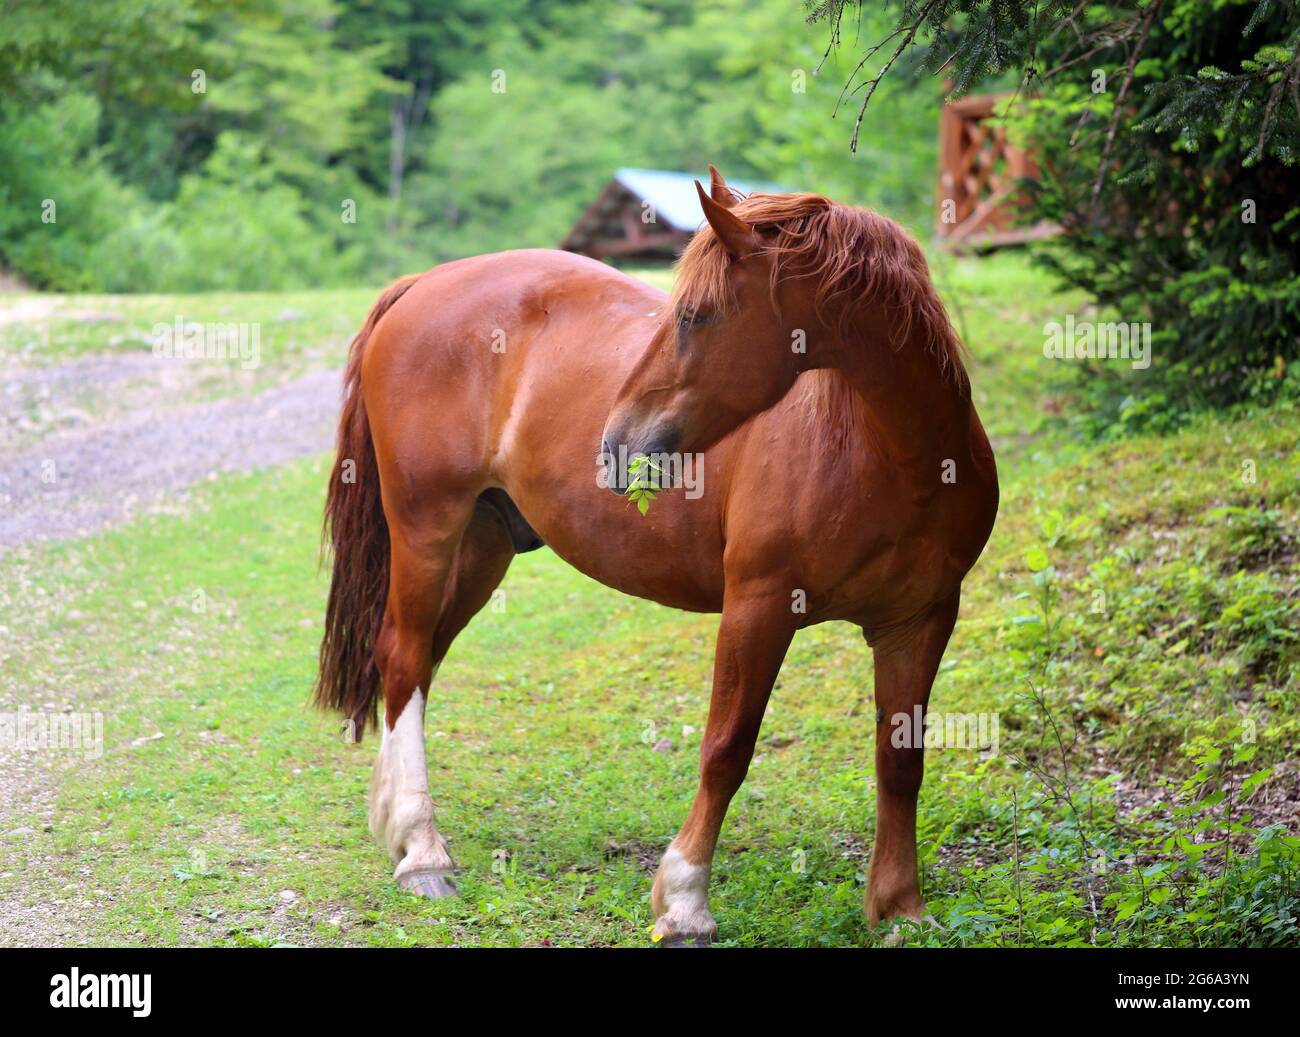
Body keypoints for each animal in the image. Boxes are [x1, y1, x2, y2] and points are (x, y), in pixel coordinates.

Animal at [314, 166, 999, 944]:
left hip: (483, 547)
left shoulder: (921, 620)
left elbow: (900, 760)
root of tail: (420, 284)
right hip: (428, 529)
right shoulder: (759, 608)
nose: (617, 440)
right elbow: (727, 748)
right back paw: (423, 851)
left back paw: (398, 827)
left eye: (695, 315)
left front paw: (900, 907)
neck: (889, 454)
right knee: (403, 658)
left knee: (415, 664)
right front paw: (685, 900)